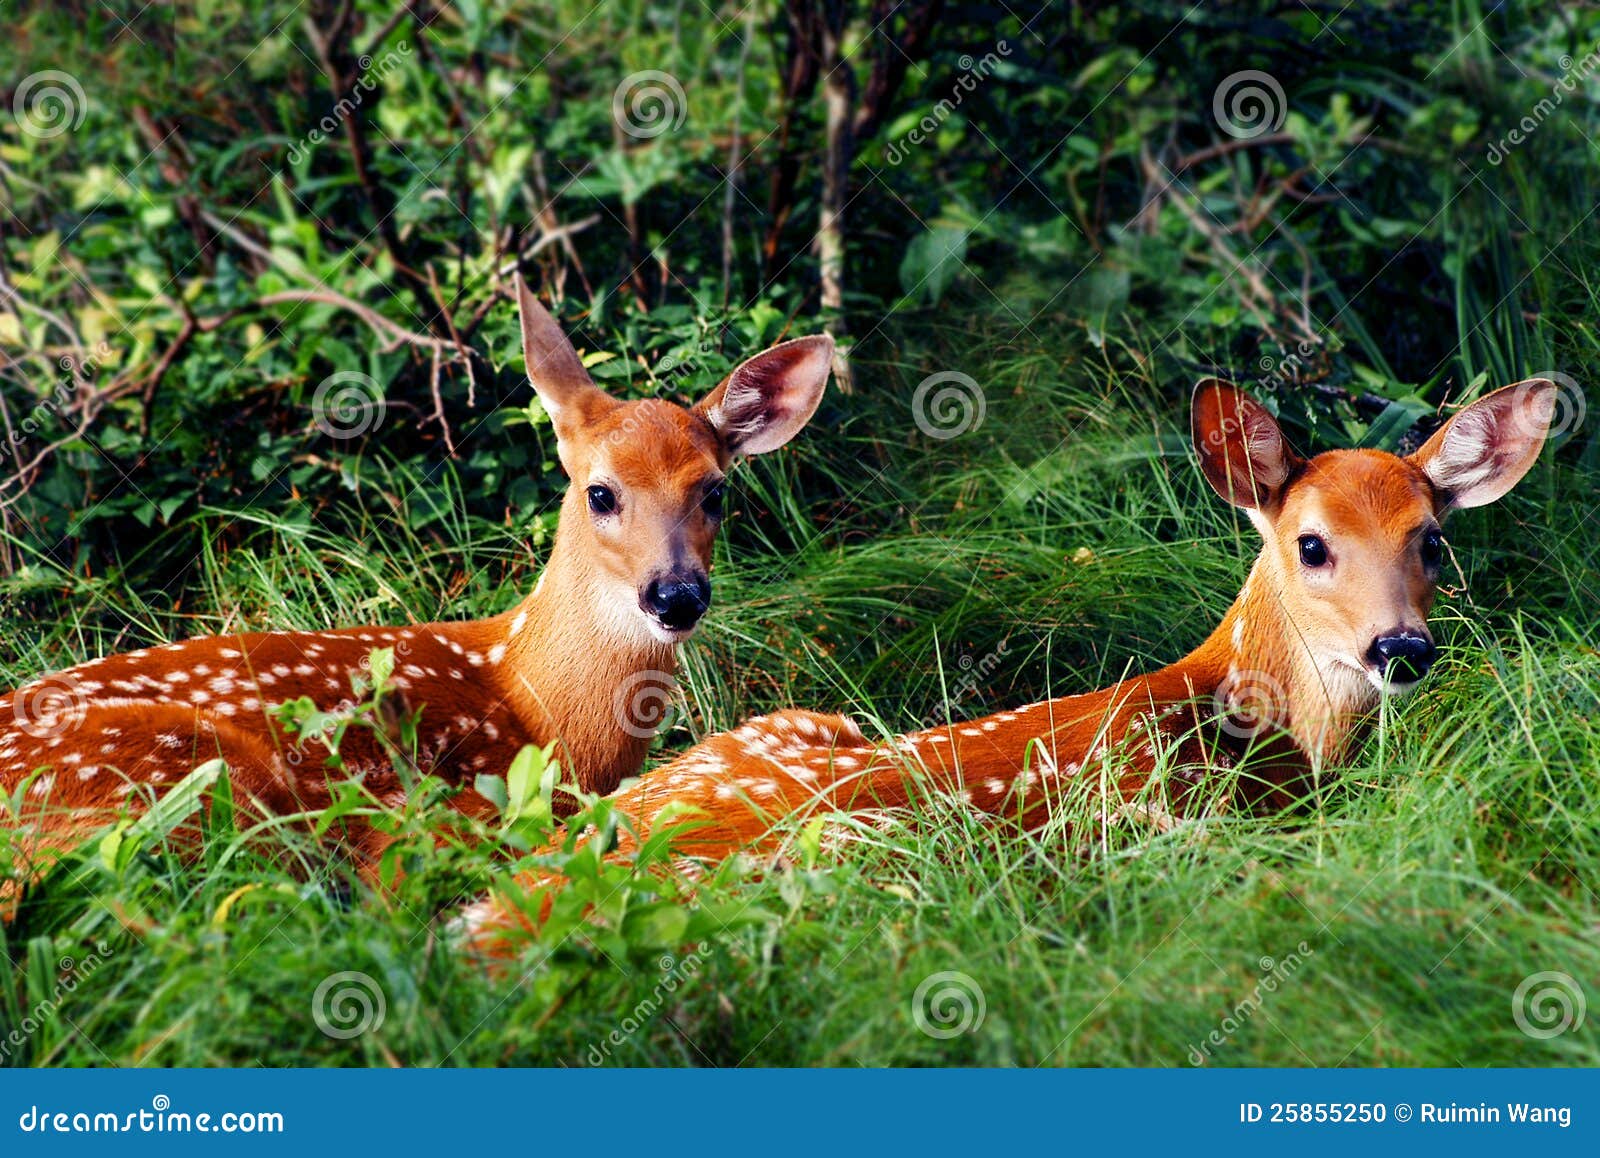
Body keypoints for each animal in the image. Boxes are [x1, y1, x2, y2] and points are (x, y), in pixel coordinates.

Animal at [465, 376, 1556, 947]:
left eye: (1431, 540)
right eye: (1313, 544)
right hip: (869, 860)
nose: (1400, 647)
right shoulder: (1164, 815)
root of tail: (504, 913)